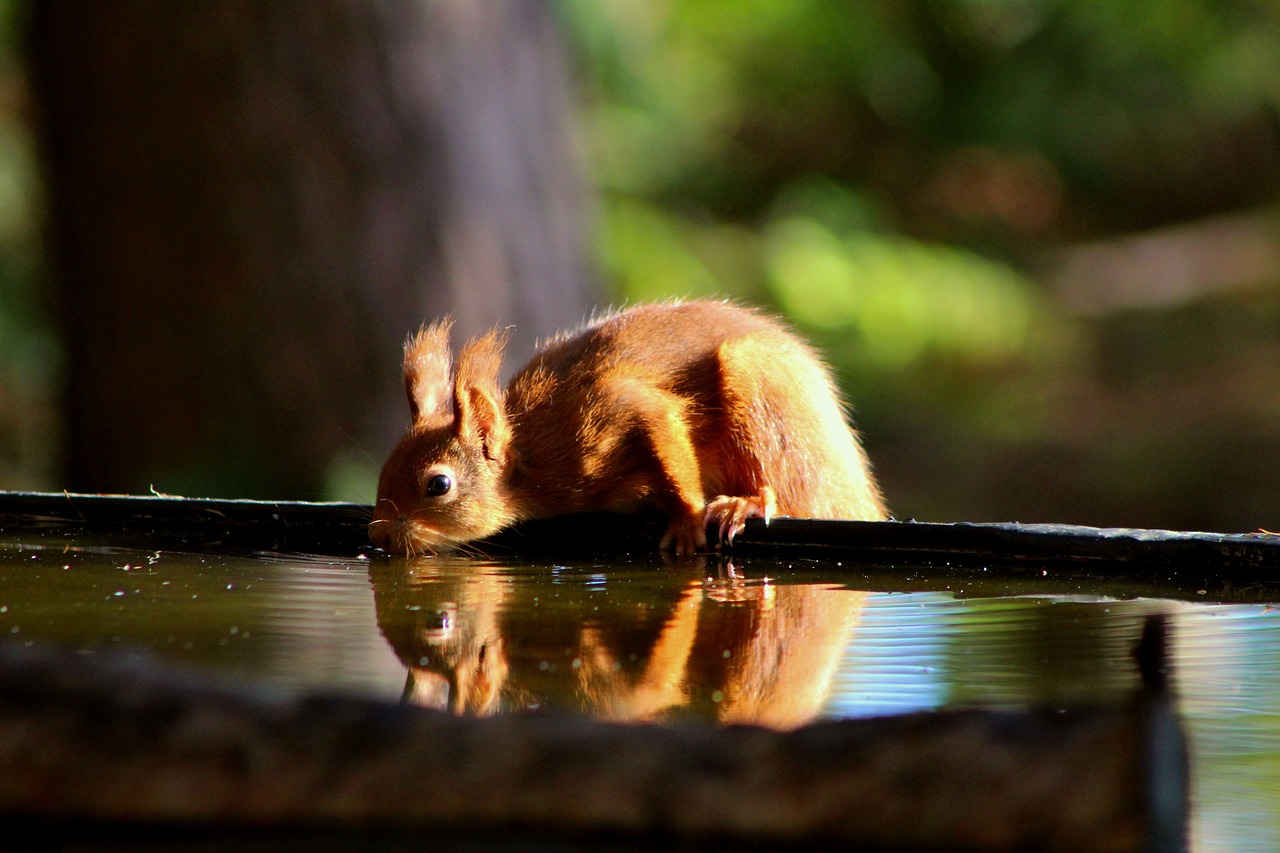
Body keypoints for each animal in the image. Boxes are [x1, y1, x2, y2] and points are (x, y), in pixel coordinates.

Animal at [369, 299, 886, 555]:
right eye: (383, 470)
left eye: (438, 485)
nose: (378, 537)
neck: (529, 455)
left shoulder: (610, 411)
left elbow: (660, 425)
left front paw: (686, 522)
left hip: (762, 396)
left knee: (785, 489)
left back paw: (746, 501)